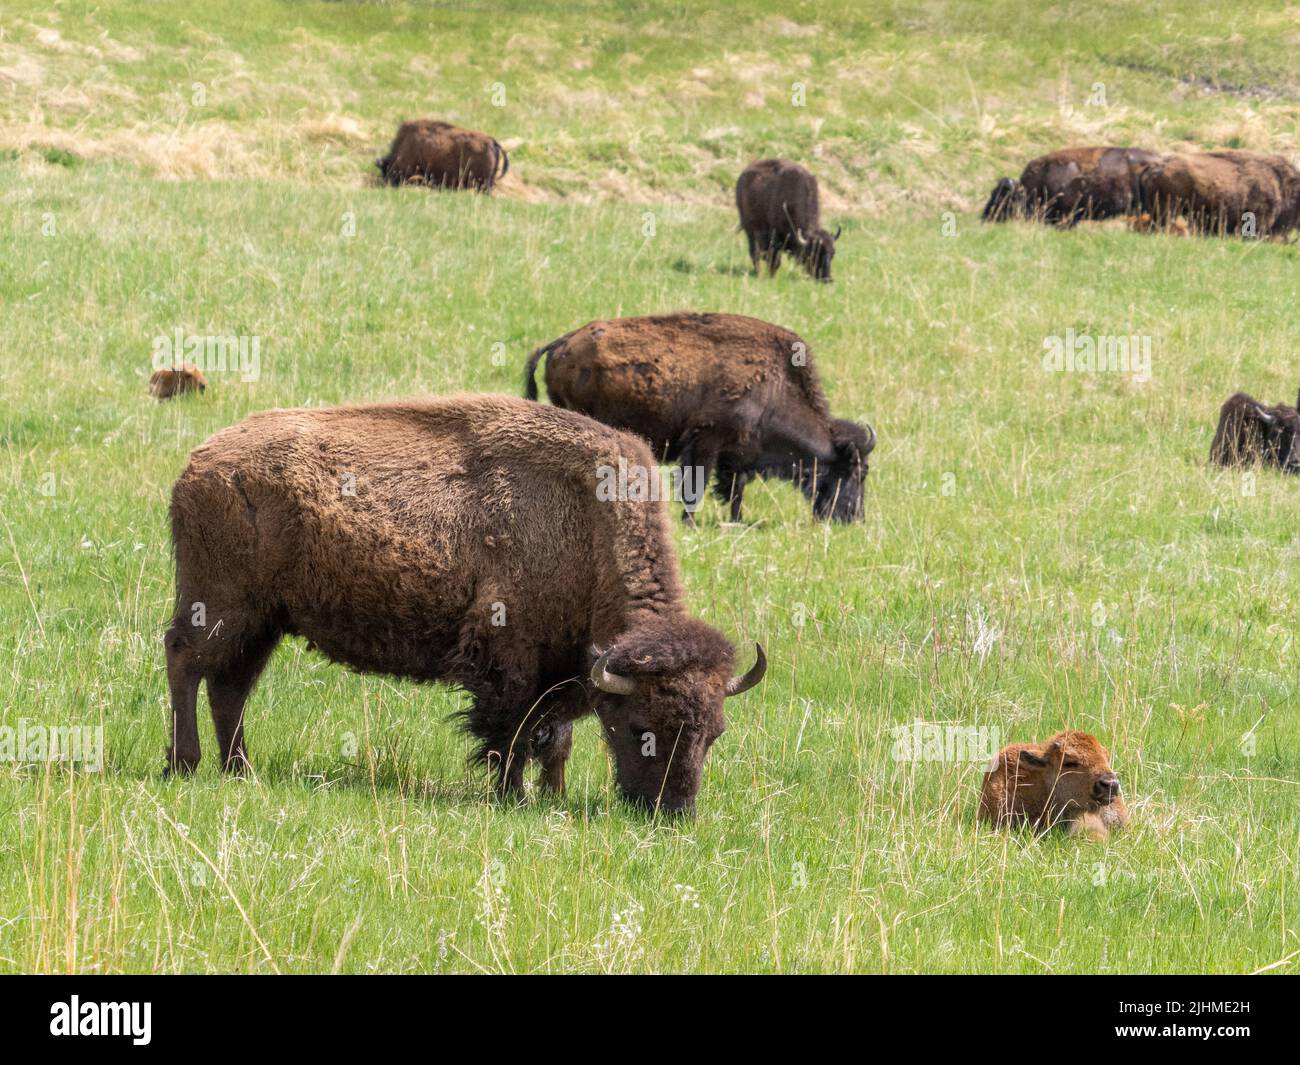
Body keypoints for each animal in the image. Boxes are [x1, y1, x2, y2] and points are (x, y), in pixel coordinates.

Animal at [163, 394, 766, 814]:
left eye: (714, 734)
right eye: (642, 728)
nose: (673, 811)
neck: (589, 524)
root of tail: (200, 464)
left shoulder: (564, 672)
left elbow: (557, 740)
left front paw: (553, 797)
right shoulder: (512, 661)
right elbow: (514, 732)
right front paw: (512, 796)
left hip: (263, 620)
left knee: (231, 686)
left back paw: (240, 770)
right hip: (220, 606)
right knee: (186, 662)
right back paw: (183, 765)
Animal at [524, 312, 875, 524]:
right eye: (857, 472)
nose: (854, 518)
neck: (775, 389)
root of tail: (562, 342)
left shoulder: (738, 456)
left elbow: (735, 489)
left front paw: (735, 521)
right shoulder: (706, 443)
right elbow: (697, 485)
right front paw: (691, 522)